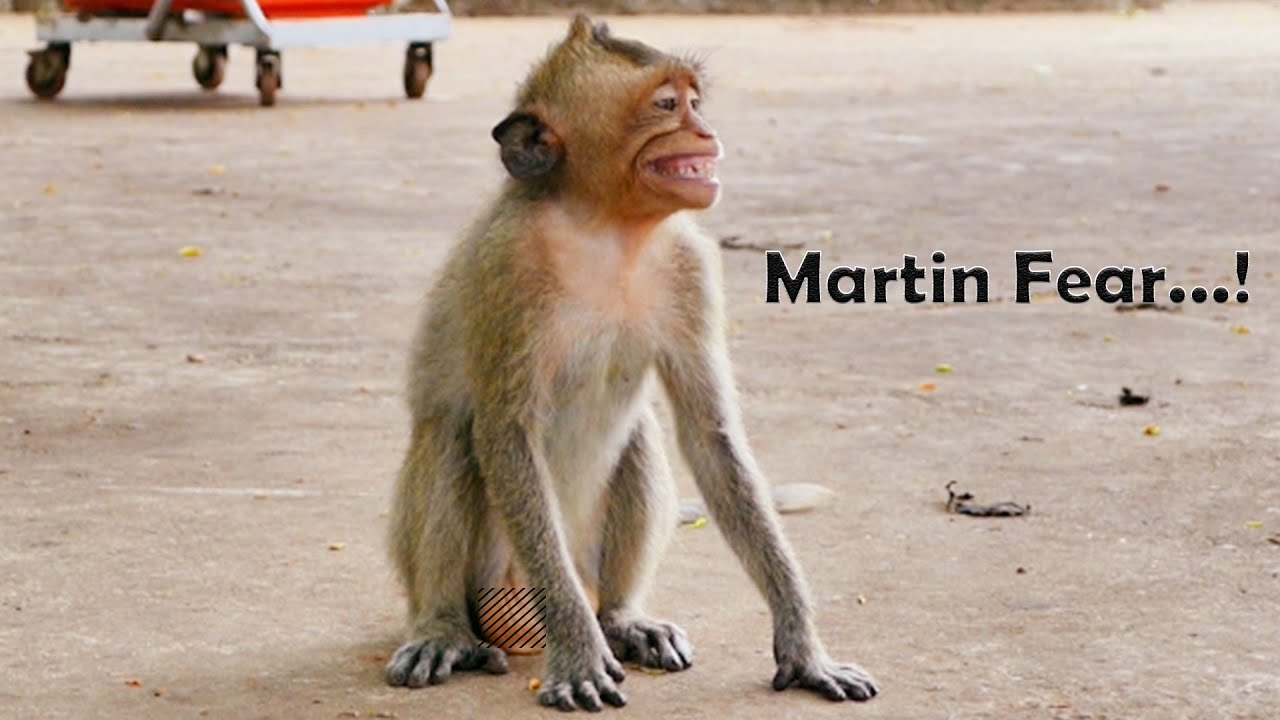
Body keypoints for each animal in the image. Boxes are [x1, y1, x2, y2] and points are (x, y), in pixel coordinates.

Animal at [384, 15, 879, 711]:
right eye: (666, 105)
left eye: (695, 100)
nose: (707, 132)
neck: (606, 229)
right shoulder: (506, 267)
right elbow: (505, 433)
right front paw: (577, 652)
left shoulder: (689, 266)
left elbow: (710, 436)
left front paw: (804, 647)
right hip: (492, 570)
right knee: (455, 435)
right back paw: (444, 628)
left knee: (639, 437)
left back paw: (621, 618)